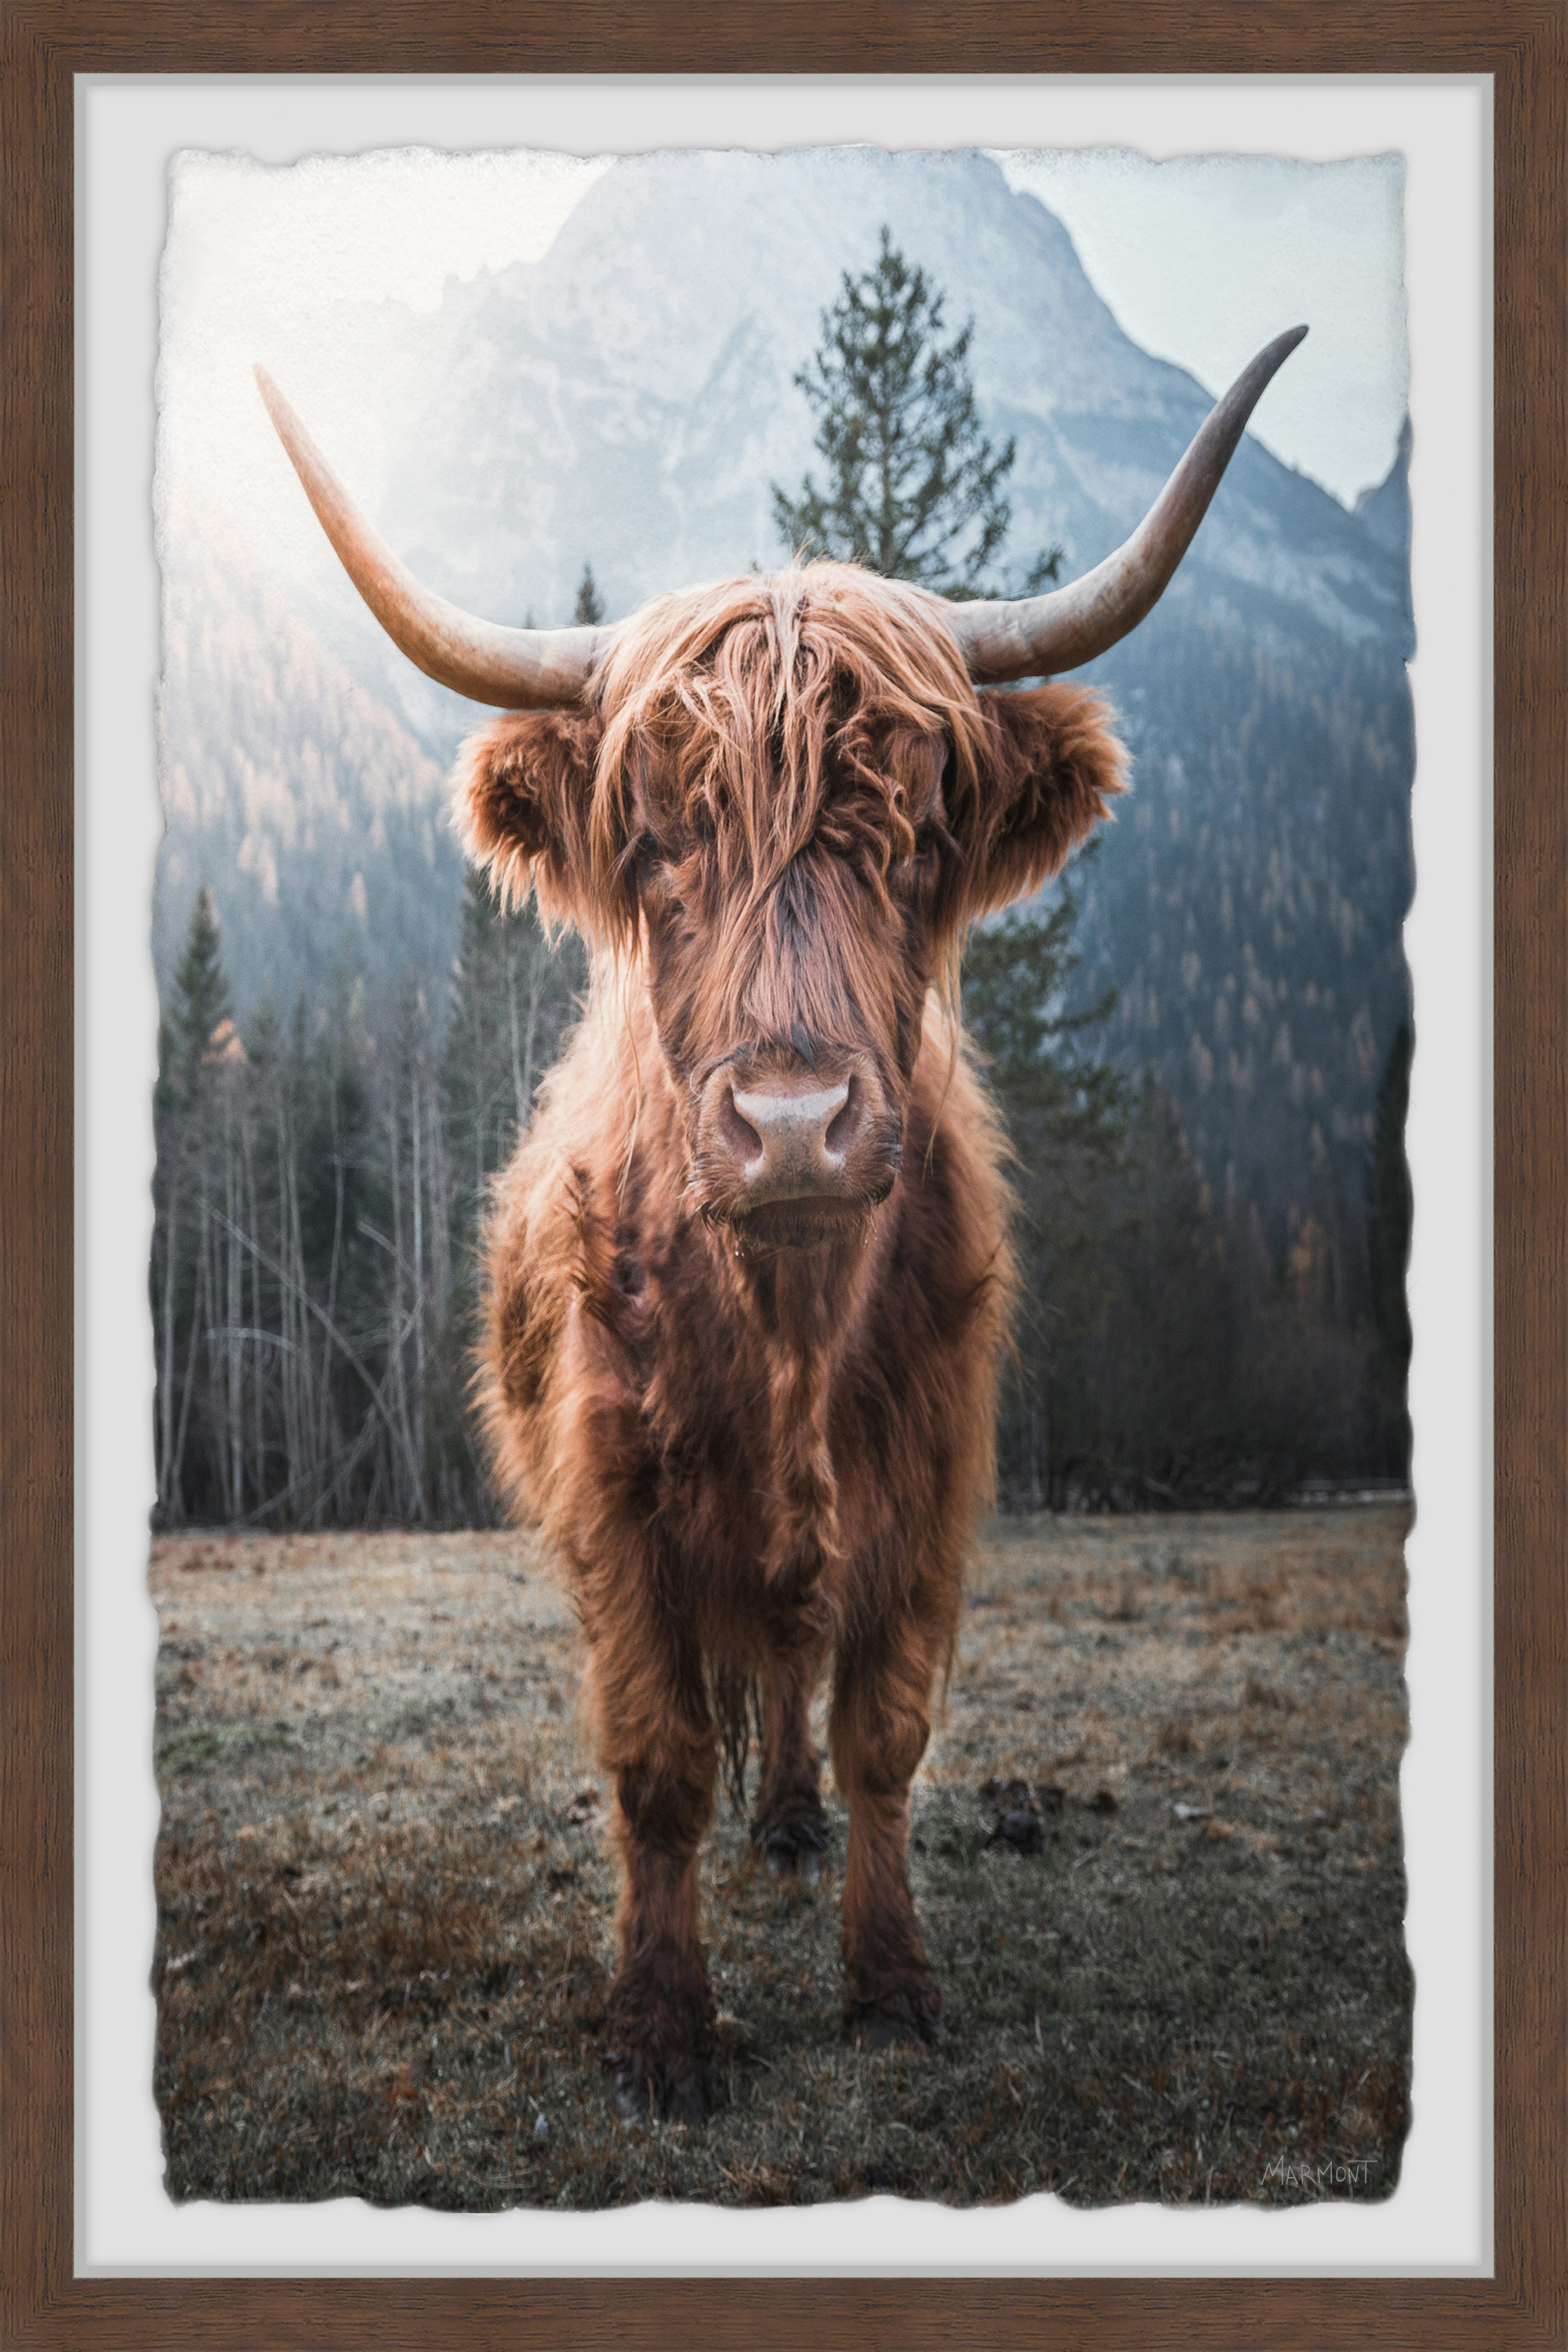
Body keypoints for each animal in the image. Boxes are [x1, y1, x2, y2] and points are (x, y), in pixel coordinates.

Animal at [258, 325, 1304, 2123]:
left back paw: (798, 1825)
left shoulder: (929, 1478)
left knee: (799, 1681)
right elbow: (658, 1759)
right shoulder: (613, 1500)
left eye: (914, 835)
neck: (788, 1328)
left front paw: (886, 1985)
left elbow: (881, 1726)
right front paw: (662, 2028)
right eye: (658, 847)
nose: (796, 1122)